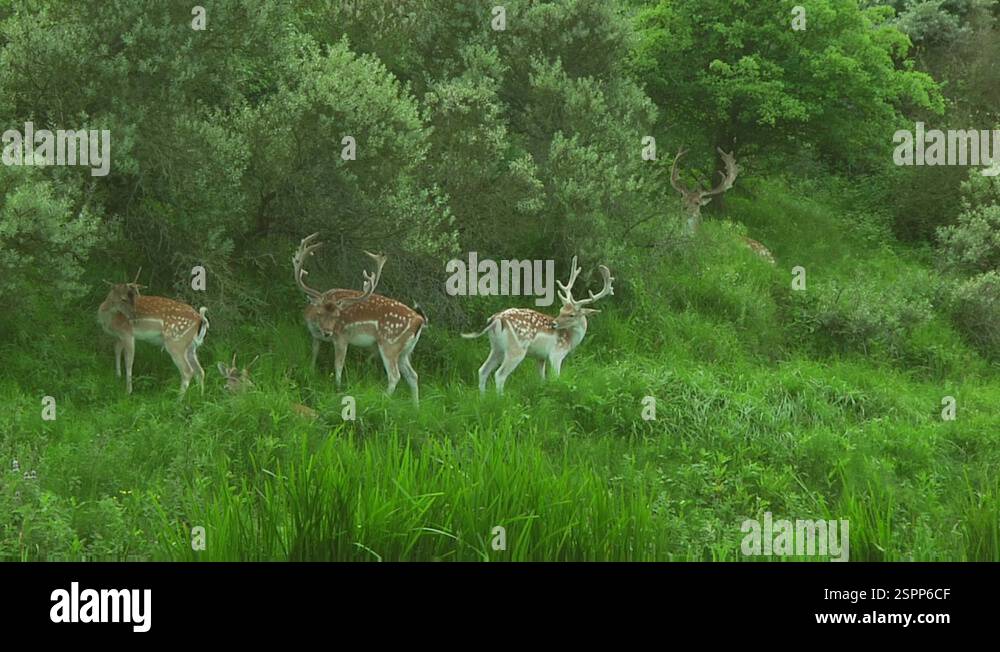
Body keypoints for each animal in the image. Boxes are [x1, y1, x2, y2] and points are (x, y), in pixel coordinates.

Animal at [293, 233, 427, 405]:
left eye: (337, 316)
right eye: (320, 312)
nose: (328, 332)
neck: (315, 326)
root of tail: (419, 321)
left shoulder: (342, 337)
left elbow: (338, 365)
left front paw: (337, 388)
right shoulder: (316, 337)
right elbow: (314, 354)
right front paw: (310, 372)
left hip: (389, 343)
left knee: (394, 376)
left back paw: (382, 399)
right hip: (405, 351)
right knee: (413, 375)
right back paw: (416, 407)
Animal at [462, 256, 614, 395]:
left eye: (571, 314)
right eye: (562, 310)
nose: (554, 324)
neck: (570, 339)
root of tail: (496, 319)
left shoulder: (540, 357)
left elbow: (542, 379)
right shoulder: (556, 354)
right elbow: (556, 378)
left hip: (496, 347)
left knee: (483, 370)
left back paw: (483, 398)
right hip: (516, 348)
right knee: (499, 375)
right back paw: (500, 399)